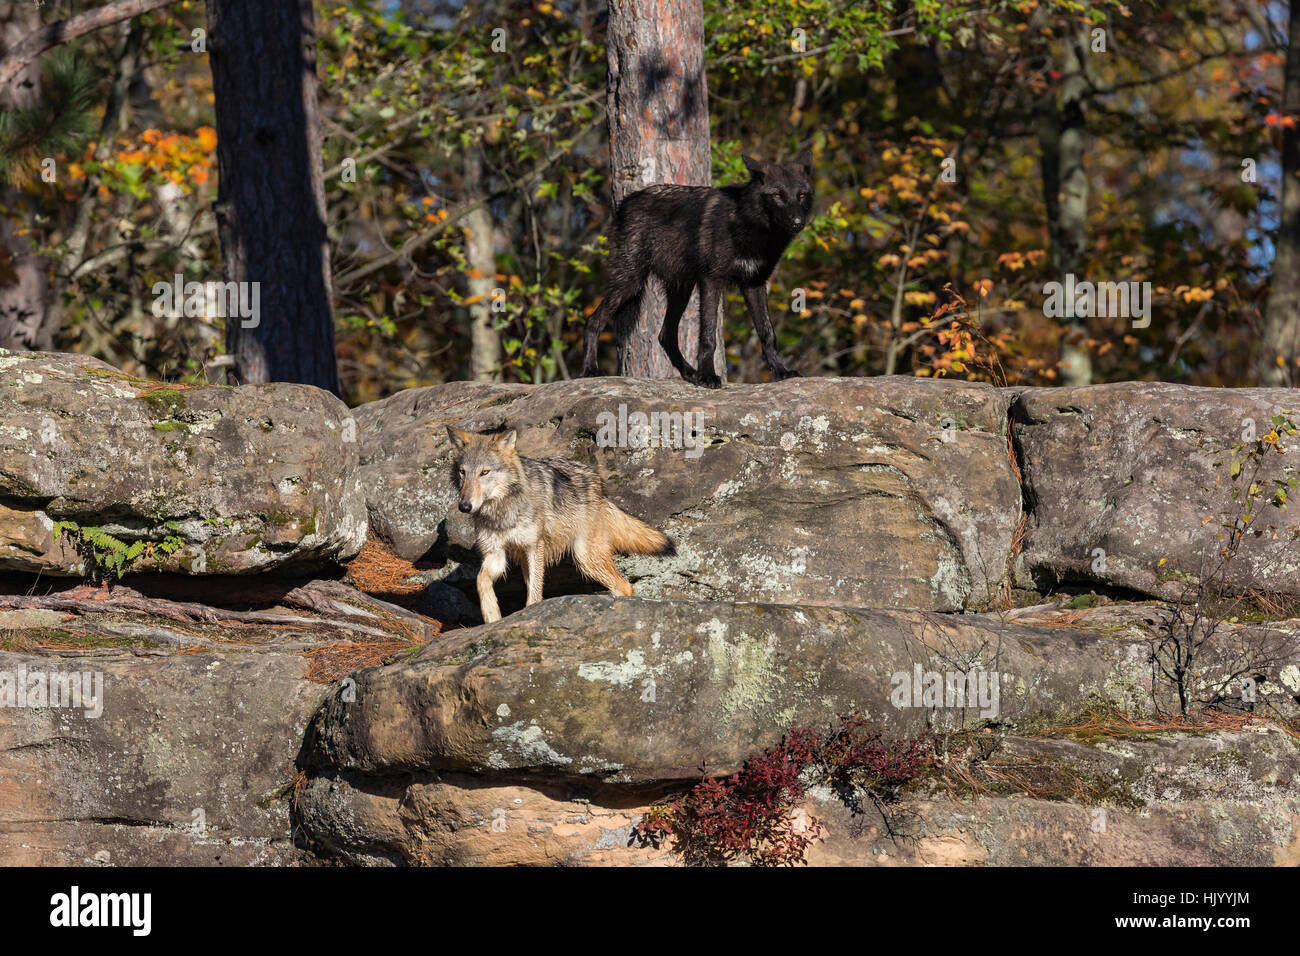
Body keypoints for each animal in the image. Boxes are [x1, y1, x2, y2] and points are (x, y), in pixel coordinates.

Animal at [446, 425, 675, 623]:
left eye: (484, 472)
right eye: (463, 472)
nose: (464, 506)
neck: (502, 510)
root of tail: (598, 484)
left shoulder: (534, 547)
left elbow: (534, 596)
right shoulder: (496, 553)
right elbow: (481, 580)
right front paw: (492, 615)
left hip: (585, 558)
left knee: (625, 586)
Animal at [580, 151, 814, 388]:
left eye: (801, 195)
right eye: (777, 195)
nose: (798, 222)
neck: (751, 227)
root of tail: (626, 201)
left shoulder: (754, 284)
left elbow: (767, 333)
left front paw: (781, 371)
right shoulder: (712, 280)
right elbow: (708, 335)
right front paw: (708, 375)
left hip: (679, 290)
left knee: (665, 335)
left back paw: (690, 374)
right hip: (630, 282)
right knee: (593, 321)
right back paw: (590, 369)